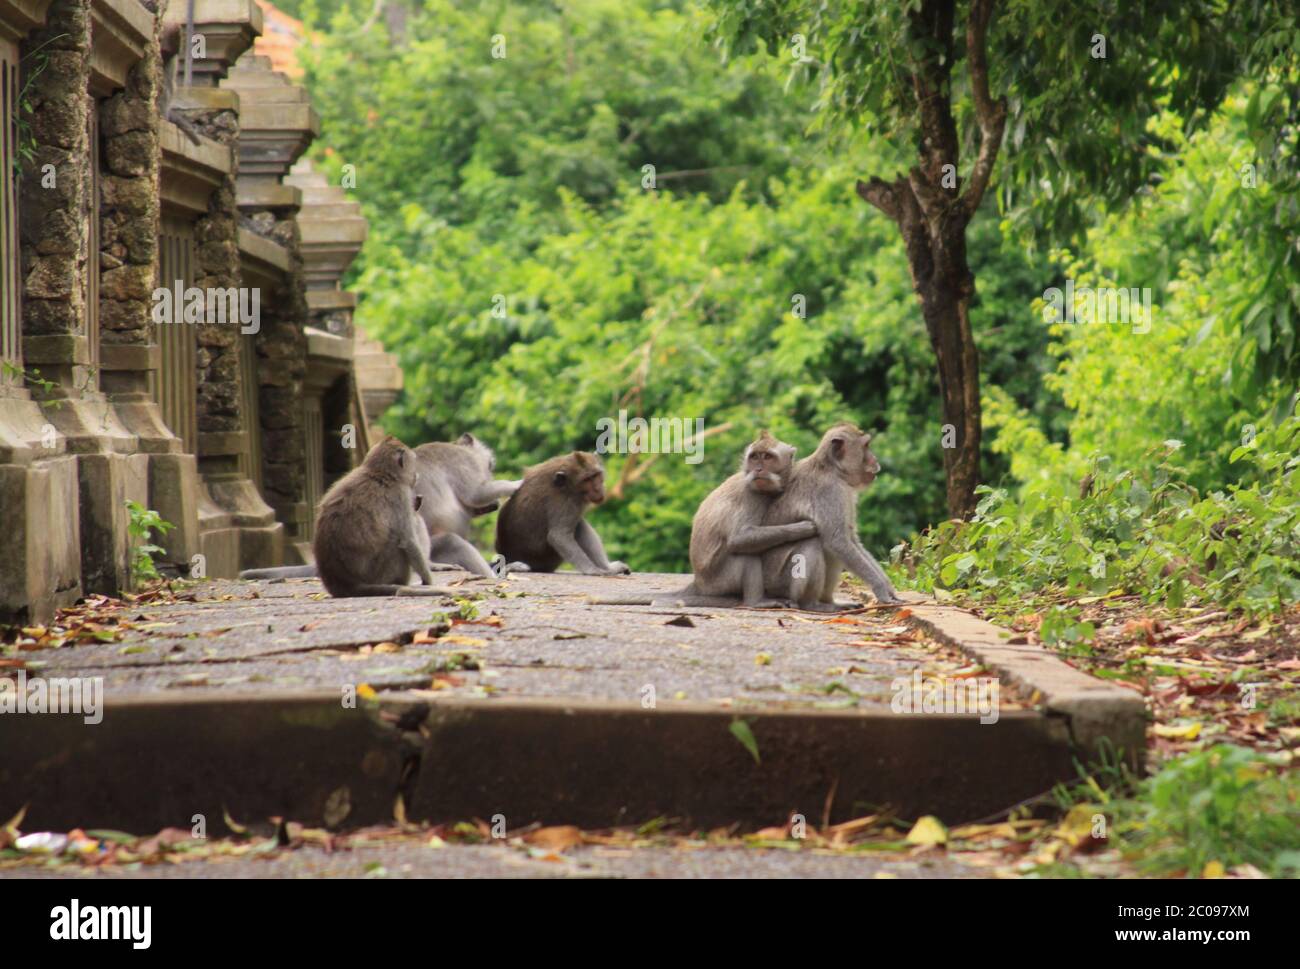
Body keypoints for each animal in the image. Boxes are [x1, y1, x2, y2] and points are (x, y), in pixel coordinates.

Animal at [311, 437, 457, 597]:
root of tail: (345, 585)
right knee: (397, 541)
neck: (381, 473)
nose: (416, 475)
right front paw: (429, 580)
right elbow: (408, 541)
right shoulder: (401, 495)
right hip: (380, 574)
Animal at [494, 451, 630, 575]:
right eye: (587, 479)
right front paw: (592, 570)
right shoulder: (564, 502)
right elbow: (559, 536)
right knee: (578, 527)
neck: (566, 485)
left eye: (596, 475)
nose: (598, 489)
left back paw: (609, 568)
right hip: (544, 560)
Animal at [760, 423, 902, 610]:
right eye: (866, 446)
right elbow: (838, 541)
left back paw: (830, 602)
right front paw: (880, 589)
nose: (875, 459)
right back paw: (813, 605)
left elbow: (851, 539)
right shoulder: (829, 491)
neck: (833, 471)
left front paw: (888, 588)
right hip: (778, 584)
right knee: (814, 544)